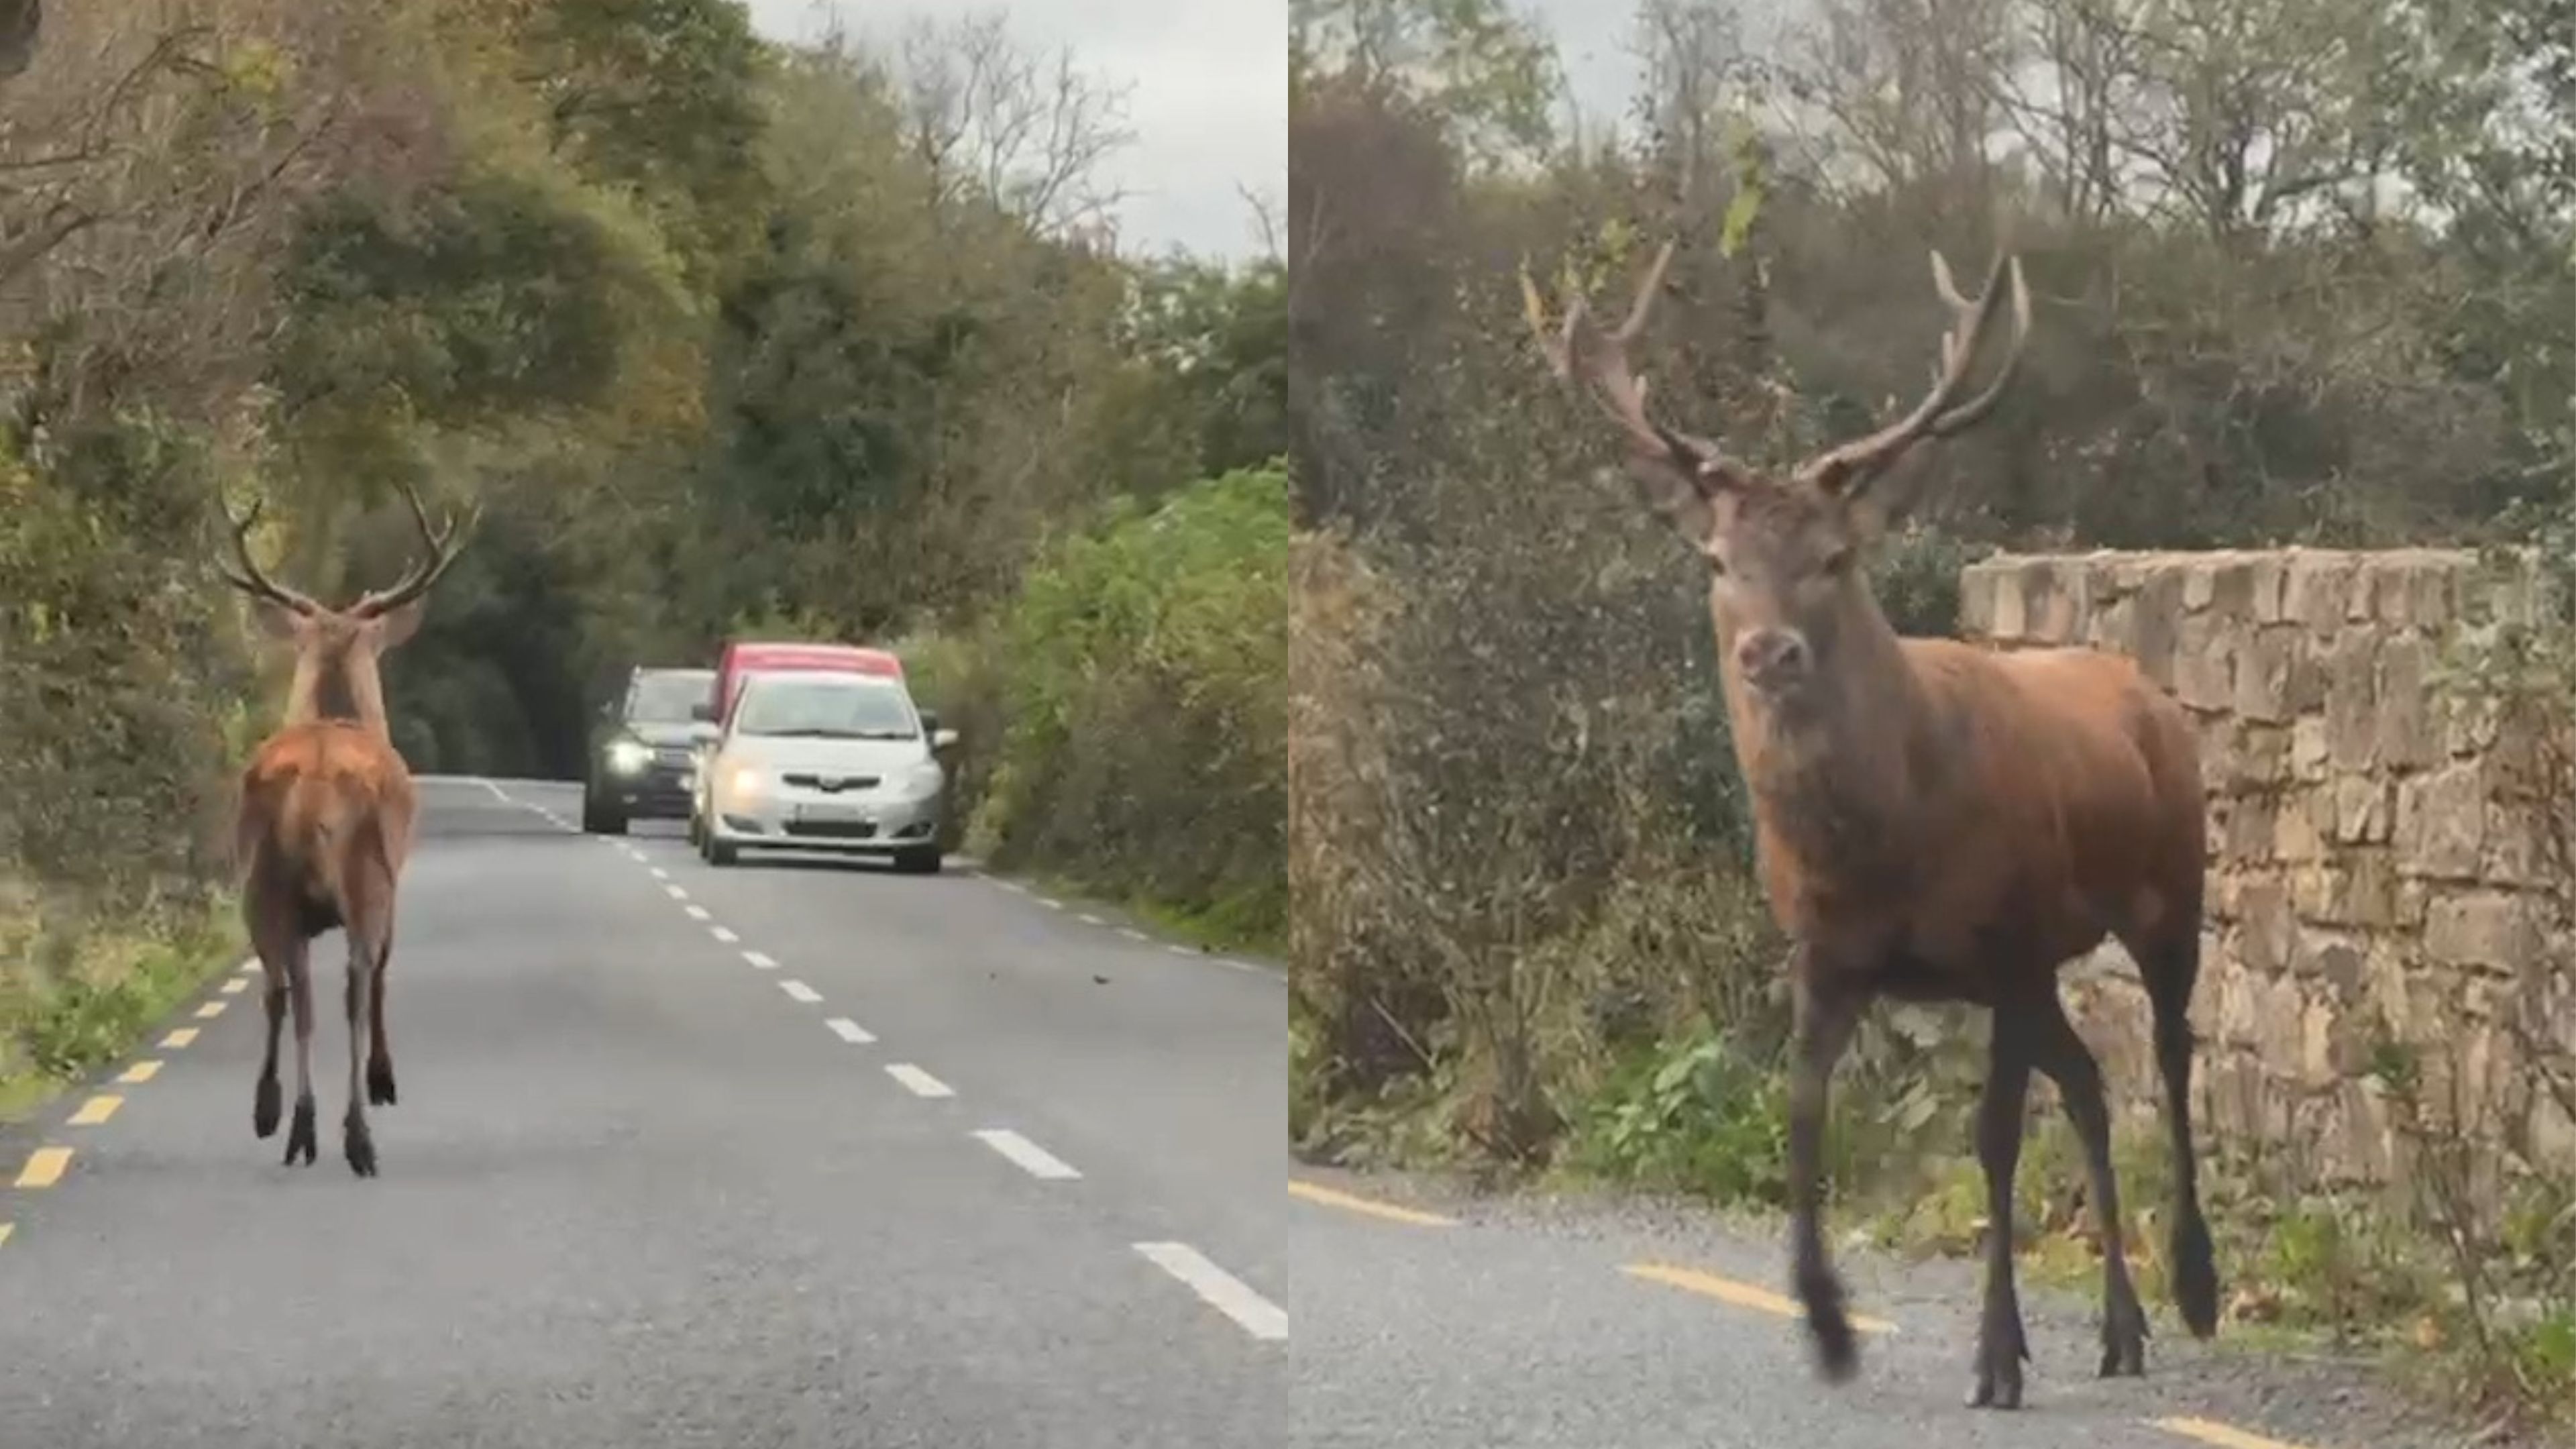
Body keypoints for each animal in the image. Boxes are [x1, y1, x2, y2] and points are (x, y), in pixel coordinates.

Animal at [214, 483, 474, 1179]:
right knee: (354, 987)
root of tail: (315, 782)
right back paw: (355, 1136)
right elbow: (380, 978)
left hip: (261, 883)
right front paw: (385, 1081)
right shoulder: (395, 885)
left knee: (285, 991)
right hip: (366, 880)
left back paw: (282, 1119)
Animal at [1520, 241, 2219, 1409]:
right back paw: (2121, 1330)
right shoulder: (1826, 952)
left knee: (2169, 1059)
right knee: (2088, 1083)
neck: (1886, 847)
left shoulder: (2007, 935)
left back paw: (2196, 1292)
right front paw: (1828, 1324)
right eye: (1718, 561)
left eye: (1835, 557)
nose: (1769, 651)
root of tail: (2151, 694)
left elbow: (1990, 1141)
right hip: (2043, 964)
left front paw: (1995, 1355)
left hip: (2171, 892)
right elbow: (1803, 1115)